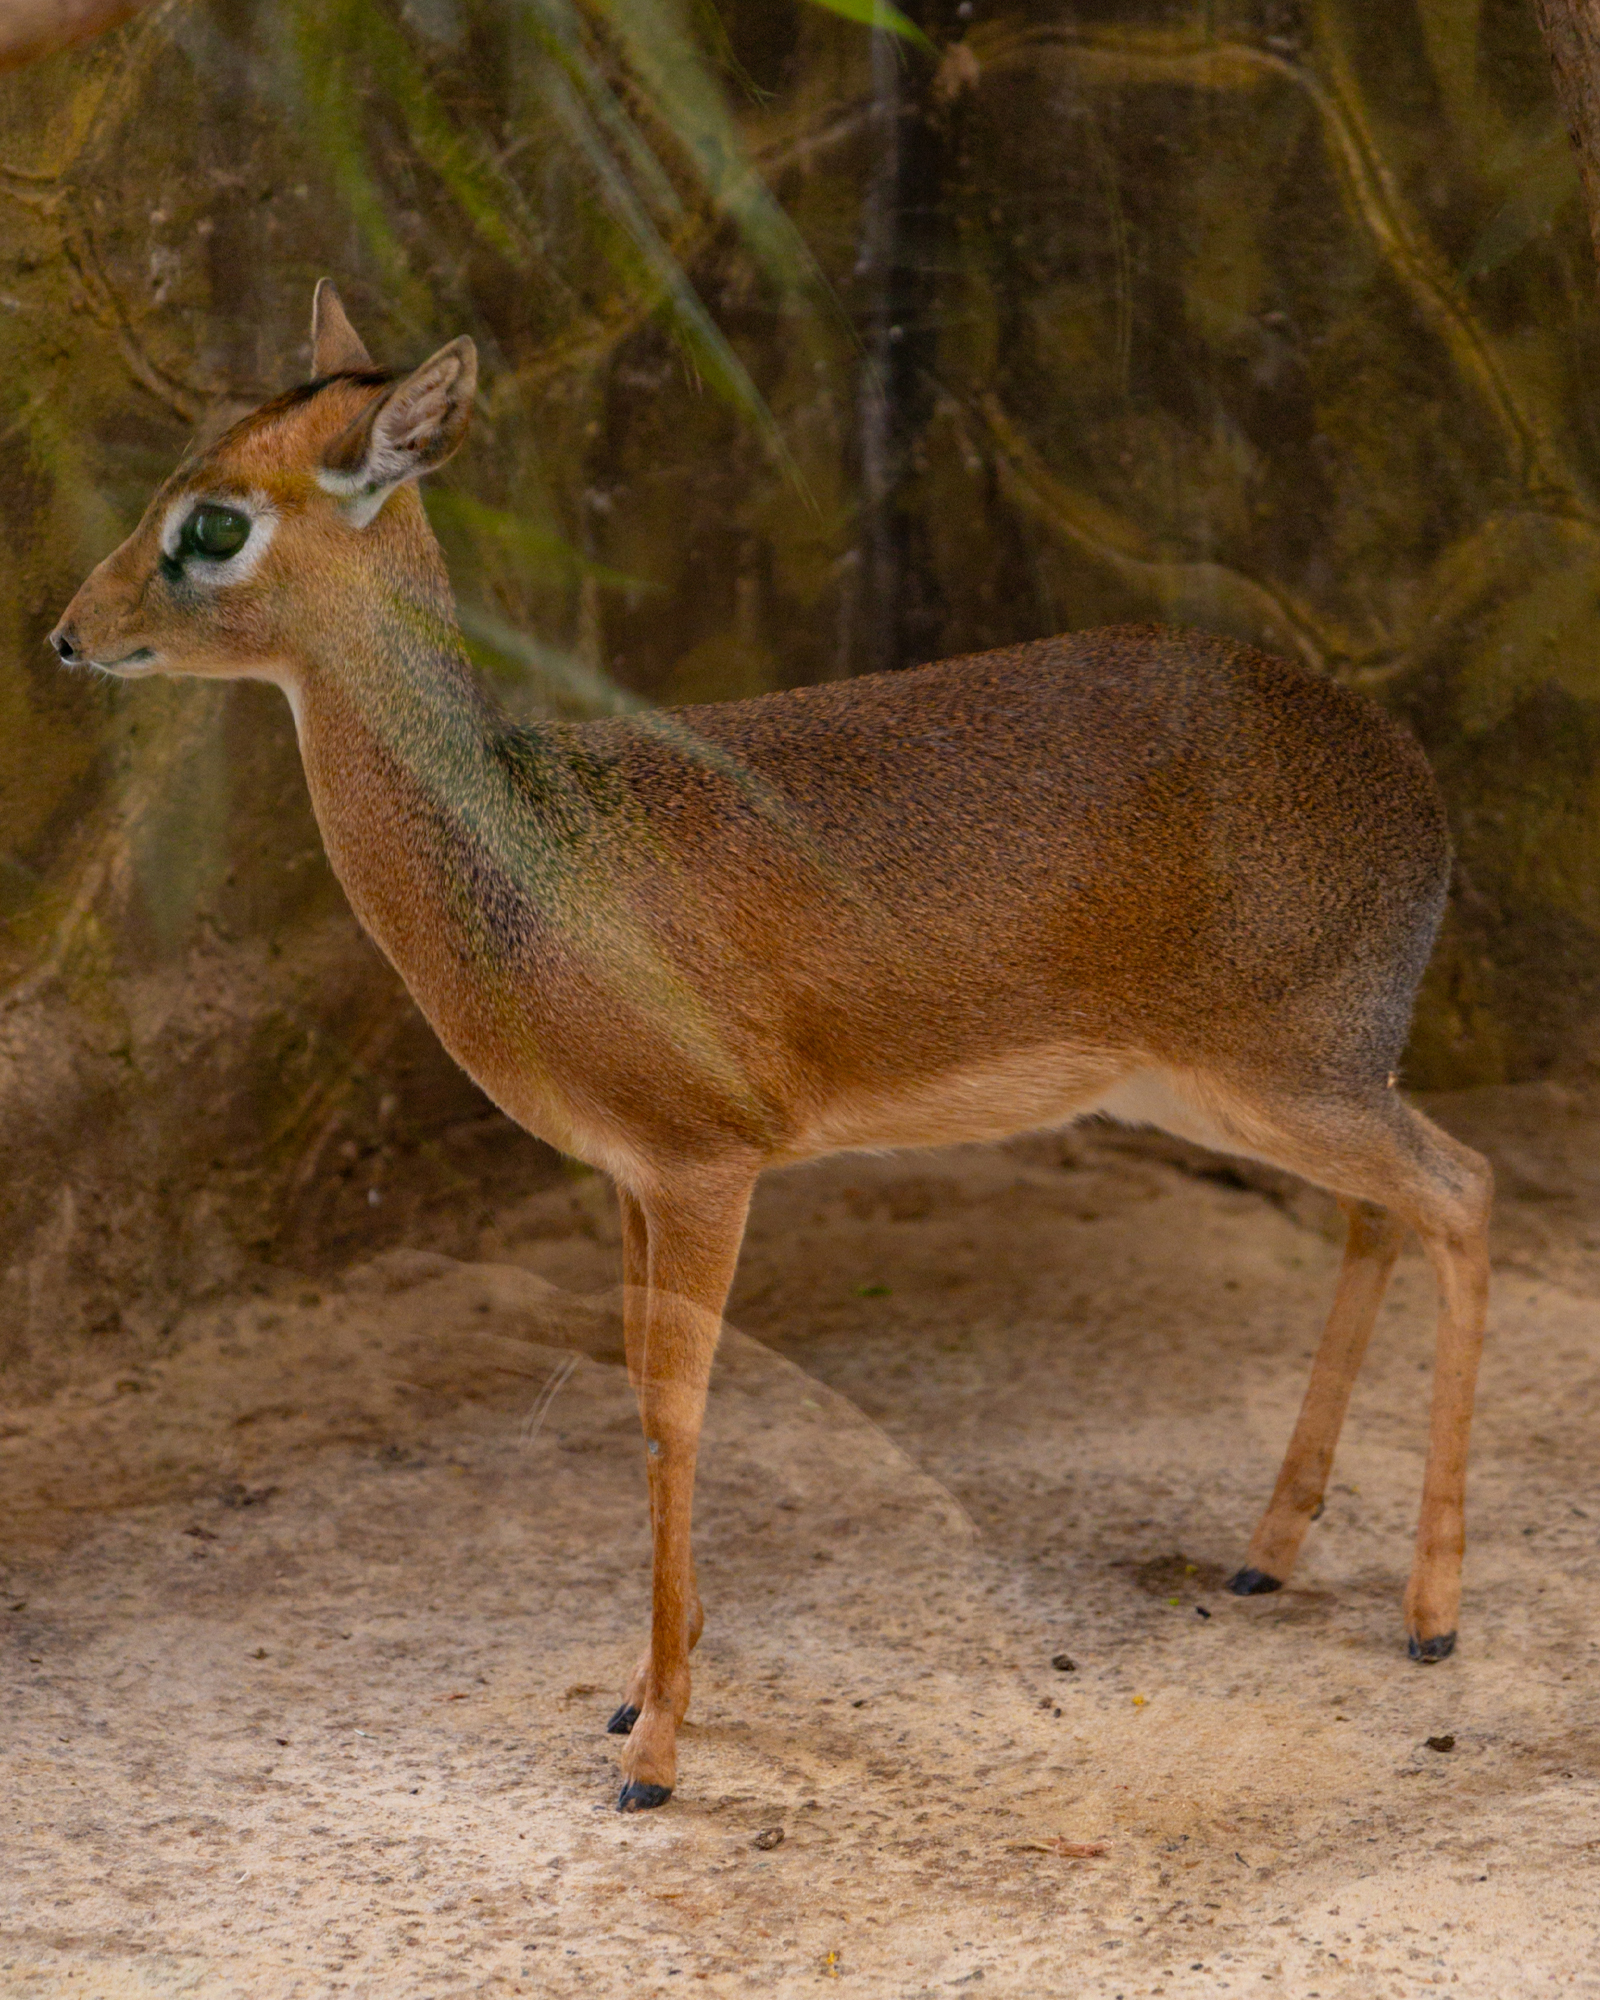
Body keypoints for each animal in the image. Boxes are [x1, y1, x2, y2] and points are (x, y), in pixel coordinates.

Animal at [56, 286, 1496, 1816]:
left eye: (215, 522)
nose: (71, 636)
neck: (531, 867)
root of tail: (1411, 771)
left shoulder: (706, 1160)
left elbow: (674, 1414)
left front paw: (659, 1754)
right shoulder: (627, 1175)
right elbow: (639, 1403)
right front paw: (640, 1693)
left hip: (1287, 1074)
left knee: (1463, 1192)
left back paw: (1430, 1617)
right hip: (1247, 1087)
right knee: (1382, 1215)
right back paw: (1268, 1552)